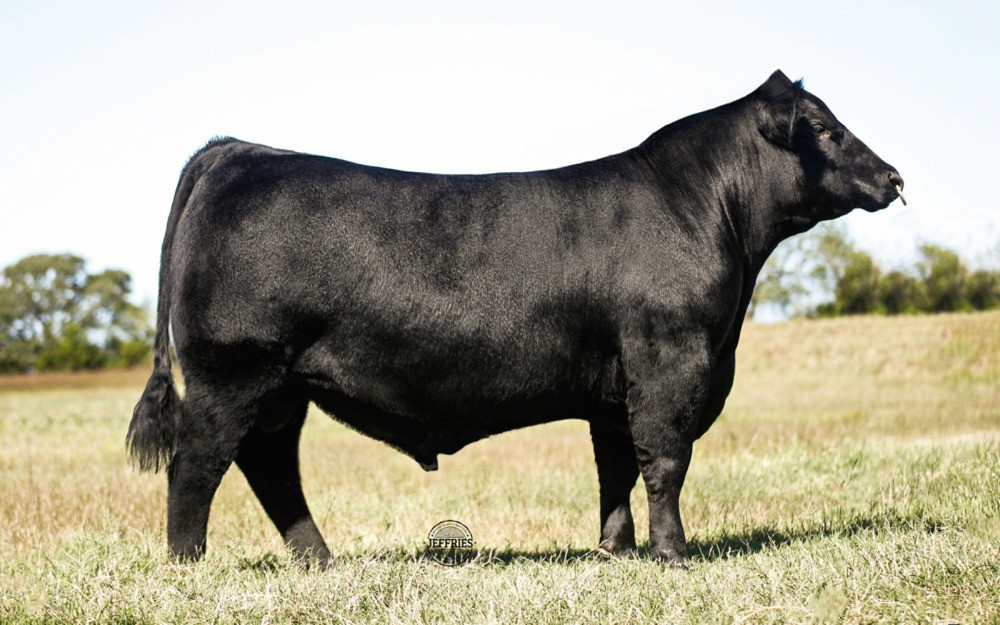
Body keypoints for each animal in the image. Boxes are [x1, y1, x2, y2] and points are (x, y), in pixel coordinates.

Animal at [128, 70, 903, 567]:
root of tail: (241, 149)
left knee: (269, 467)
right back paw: (189, 564)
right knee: (198, 464)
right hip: (235, 369)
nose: (894, 176)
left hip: (282, 388)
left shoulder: (614, 390)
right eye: (824, 129)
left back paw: (318, 560)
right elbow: (664, 461)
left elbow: (615, 466)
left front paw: (614, 551)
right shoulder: (669, 363)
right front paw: (673, 556)